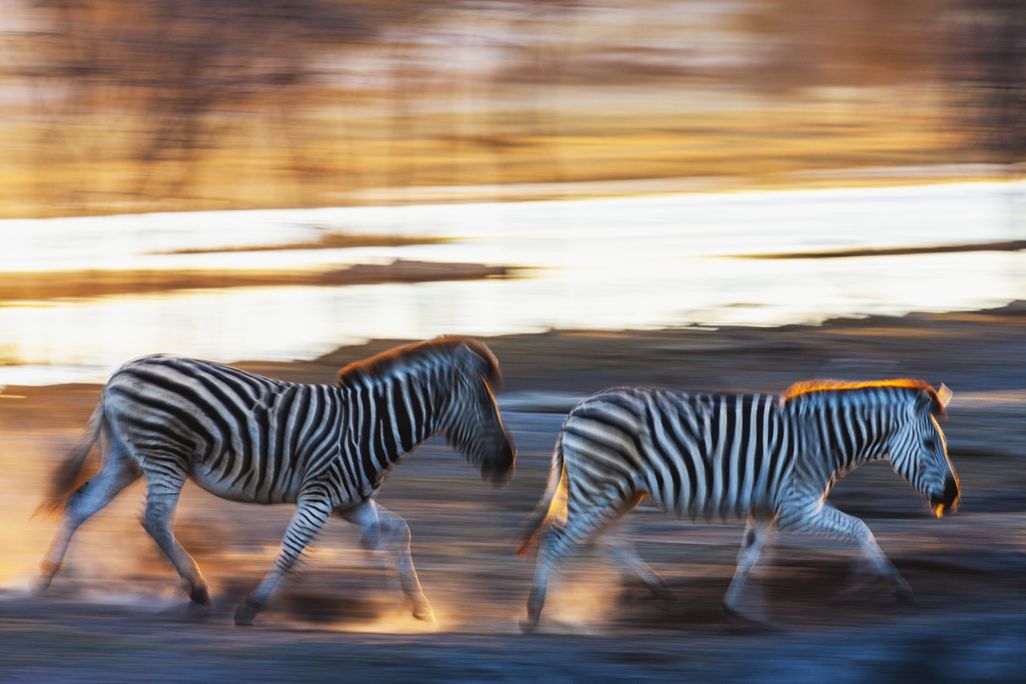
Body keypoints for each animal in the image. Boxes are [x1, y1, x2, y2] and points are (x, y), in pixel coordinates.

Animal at [37, 336, 515, 626]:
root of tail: (119, 372)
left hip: (126, 458)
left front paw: (417, 607)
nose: (507, 466)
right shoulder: (320, 496)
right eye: (485, 406)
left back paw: (45, 578)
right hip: (163, 455)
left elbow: (397, 534)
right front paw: (252, 607)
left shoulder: (353, 502)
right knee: (154, 520)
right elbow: (291, 550)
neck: (369, 426)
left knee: (80, 504)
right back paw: (198, 589)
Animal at [517, 379, 959, 632]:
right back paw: (534, 611)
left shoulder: (766, 506)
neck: (825, 441)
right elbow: (861, 529)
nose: (953, 498)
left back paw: (657, 590)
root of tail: (574, 412)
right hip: (598, 487)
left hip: (622, 490)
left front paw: (734, 609)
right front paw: (893, 585)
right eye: (930, 444)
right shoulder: (799, 507)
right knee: (557, 539)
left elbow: (748, 554)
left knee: (608, 540)